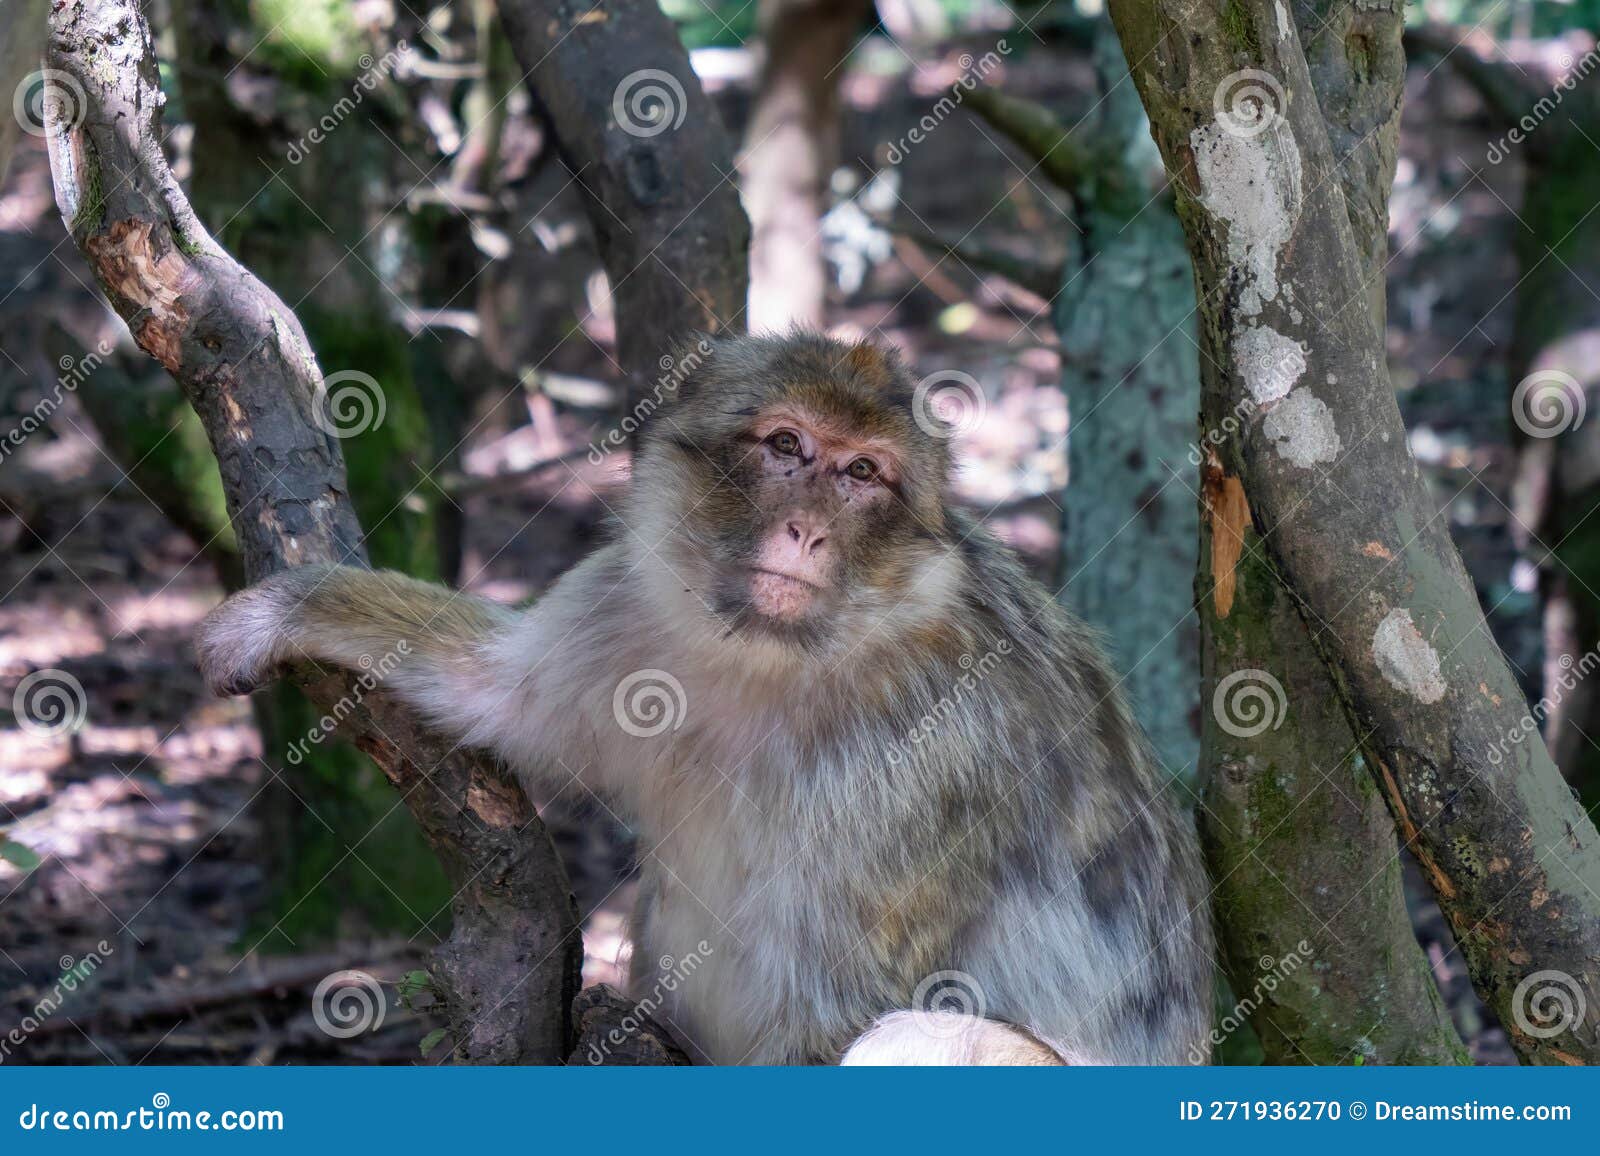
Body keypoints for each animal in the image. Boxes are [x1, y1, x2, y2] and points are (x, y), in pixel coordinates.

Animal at [195, 332, 1213, 1065]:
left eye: (862, 474)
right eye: (787, 446)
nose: (806, 531)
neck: (775, 660)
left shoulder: (928, 756)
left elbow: (837, 1011)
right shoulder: (626, 606)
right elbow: (499, 692)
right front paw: (294, 609)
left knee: (926, 1039)